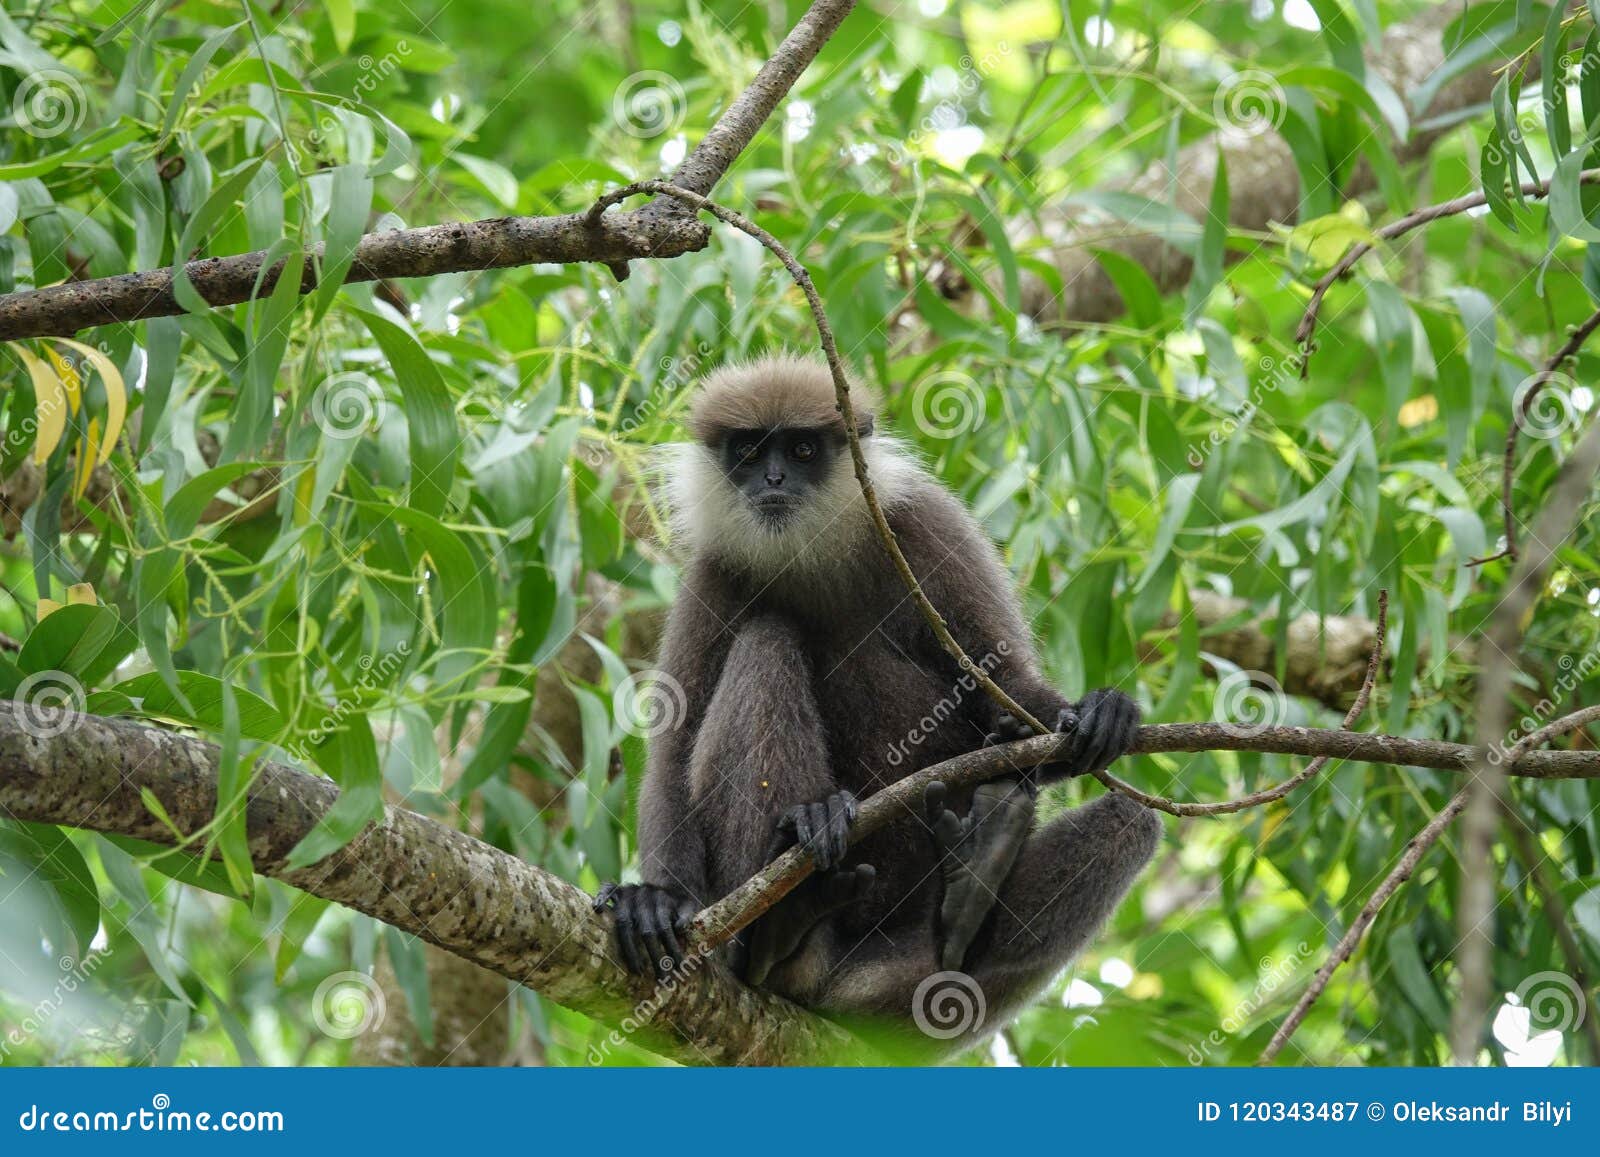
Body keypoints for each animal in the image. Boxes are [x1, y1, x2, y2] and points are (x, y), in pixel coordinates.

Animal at [593, 355, 1160, 1052]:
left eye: (802, 449)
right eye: (749, 451)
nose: (774, 478)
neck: (808, 554)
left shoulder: (925, 524)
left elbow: (1005, 696)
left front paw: (1089, 711)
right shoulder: (713, 574)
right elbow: (674, 749)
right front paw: (657, 900)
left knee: (1133, 822)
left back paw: (970, 886)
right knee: (766, 641)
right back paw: (787, 921)